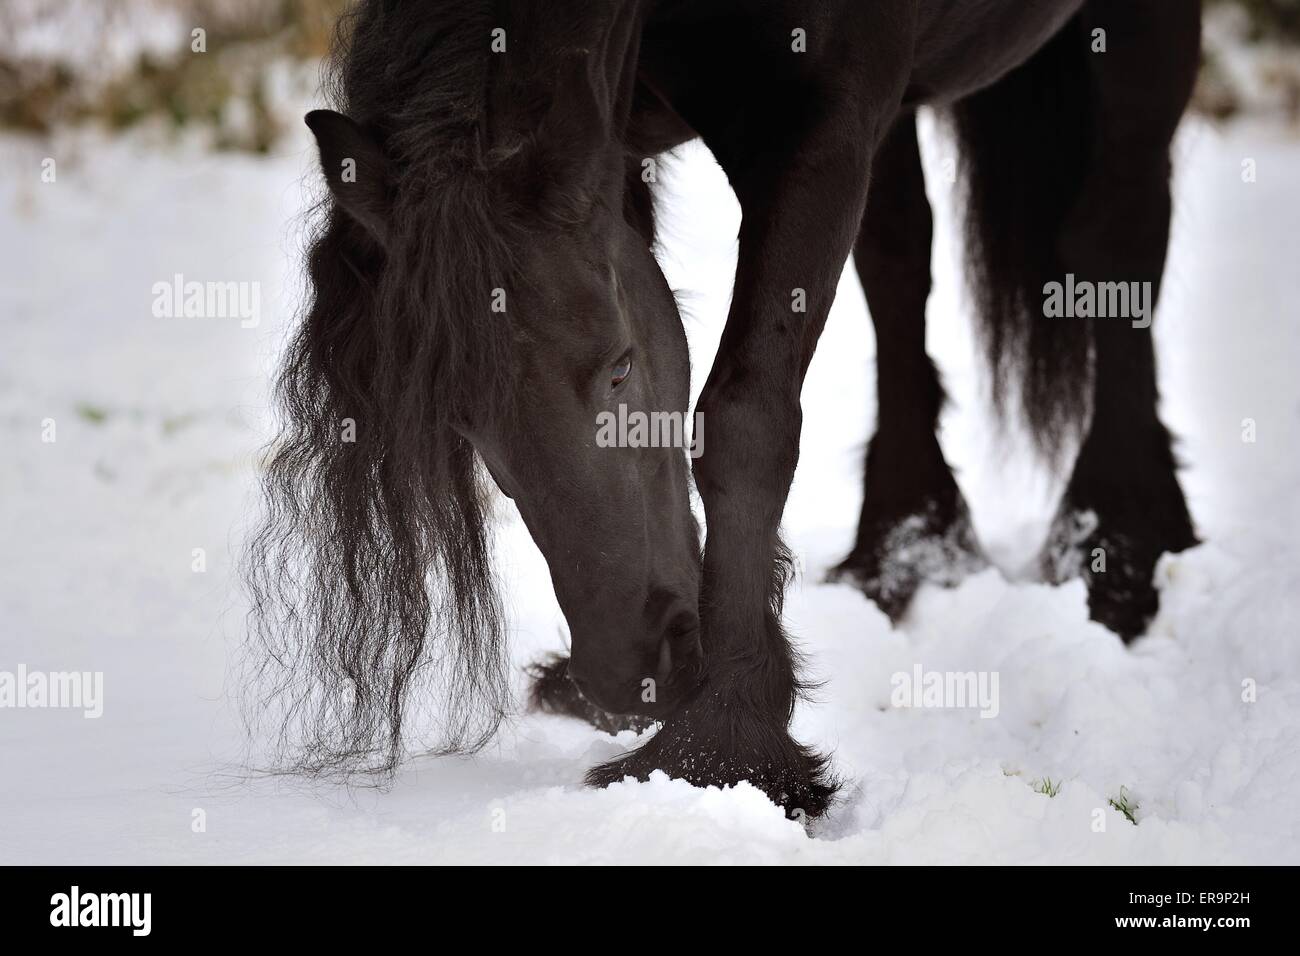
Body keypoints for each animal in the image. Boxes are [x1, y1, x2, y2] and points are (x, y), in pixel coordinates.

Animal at [246, 0, 1202, 817]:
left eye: (620, 368)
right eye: (467, 423)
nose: (634, 669)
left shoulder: (817, 128)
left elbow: (743, 417)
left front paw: (724, 749)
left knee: (1115, 234)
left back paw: (1121, 556)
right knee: (903, 261)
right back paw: (903, 553)